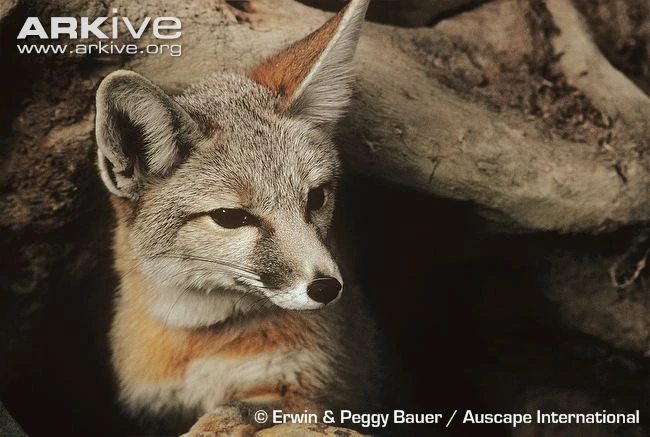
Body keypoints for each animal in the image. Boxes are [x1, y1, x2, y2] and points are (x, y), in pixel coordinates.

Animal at [94, 0, 380, 435]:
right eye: (230, 217)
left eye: (315, 197)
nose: (327, 288)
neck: (198, 344)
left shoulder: (307, 397)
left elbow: (228, 412)